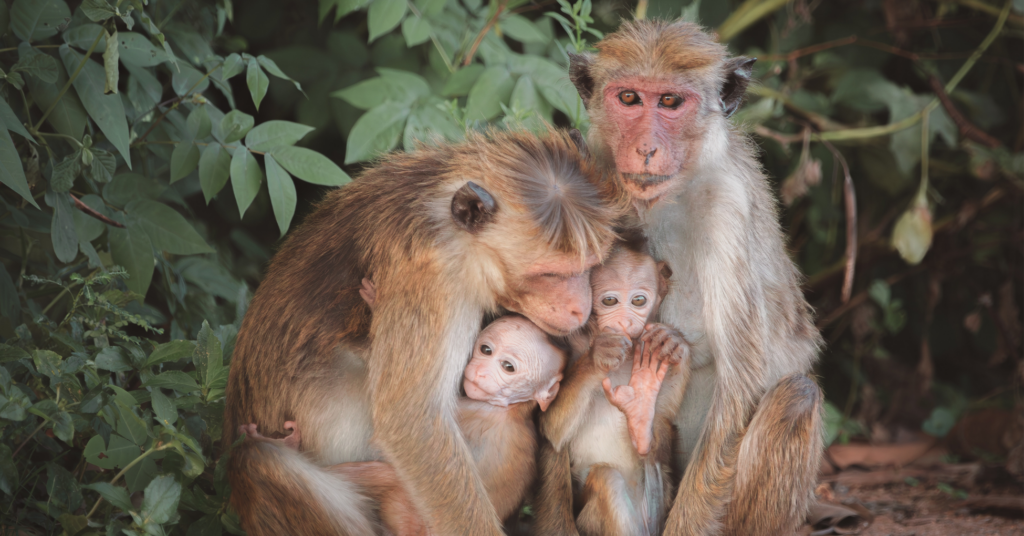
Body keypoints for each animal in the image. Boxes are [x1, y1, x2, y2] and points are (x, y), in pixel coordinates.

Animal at [242, 314, 568, 535]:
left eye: (508, 367)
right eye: (486, 350)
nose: (480, 371)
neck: (511, 408)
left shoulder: (473, 412)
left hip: (411, 522)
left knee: (388, 474)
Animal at [536, 237, 692, 536]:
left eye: (638, 300)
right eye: (610, 300)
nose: (625, 322)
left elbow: (665, 421)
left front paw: (672, 341)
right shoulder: (565, 344)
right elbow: (551, 431)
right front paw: (599, 356)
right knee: (607, 479)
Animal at [562, 20, 826, 536]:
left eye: (670, 102)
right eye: (629, 99)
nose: (646, 148)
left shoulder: (727, 206)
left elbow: (741, 385)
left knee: (796, 396)